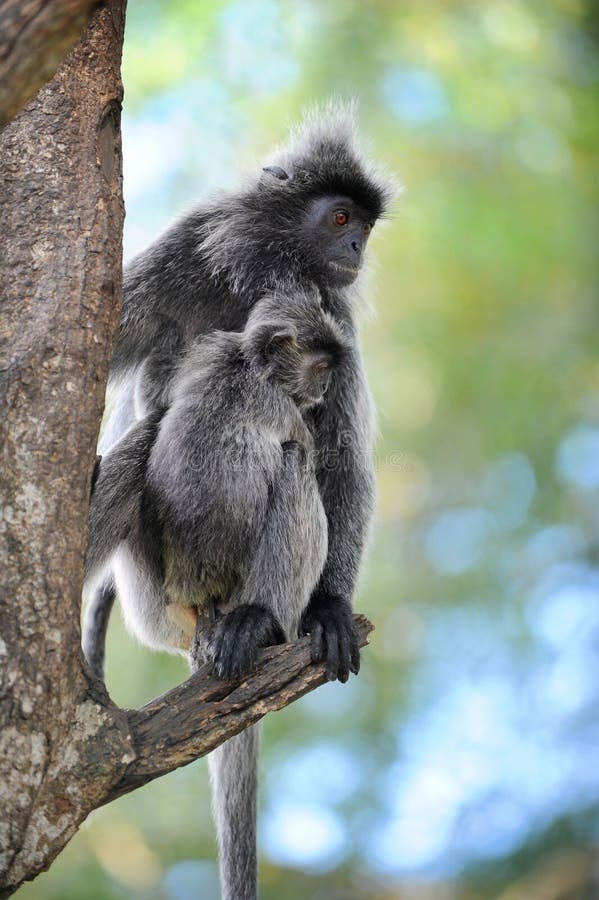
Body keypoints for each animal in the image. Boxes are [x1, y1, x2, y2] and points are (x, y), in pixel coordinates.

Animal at [83, 286, 351, 900]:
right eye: (321, 368)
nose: (325, 390)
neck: (248, 363)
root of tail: (200, 589)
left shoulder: (208, 354)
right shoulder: (278, 403)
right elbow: (302, 446)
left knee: (149, 432)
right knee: (294, 462)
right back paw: (261, 621)